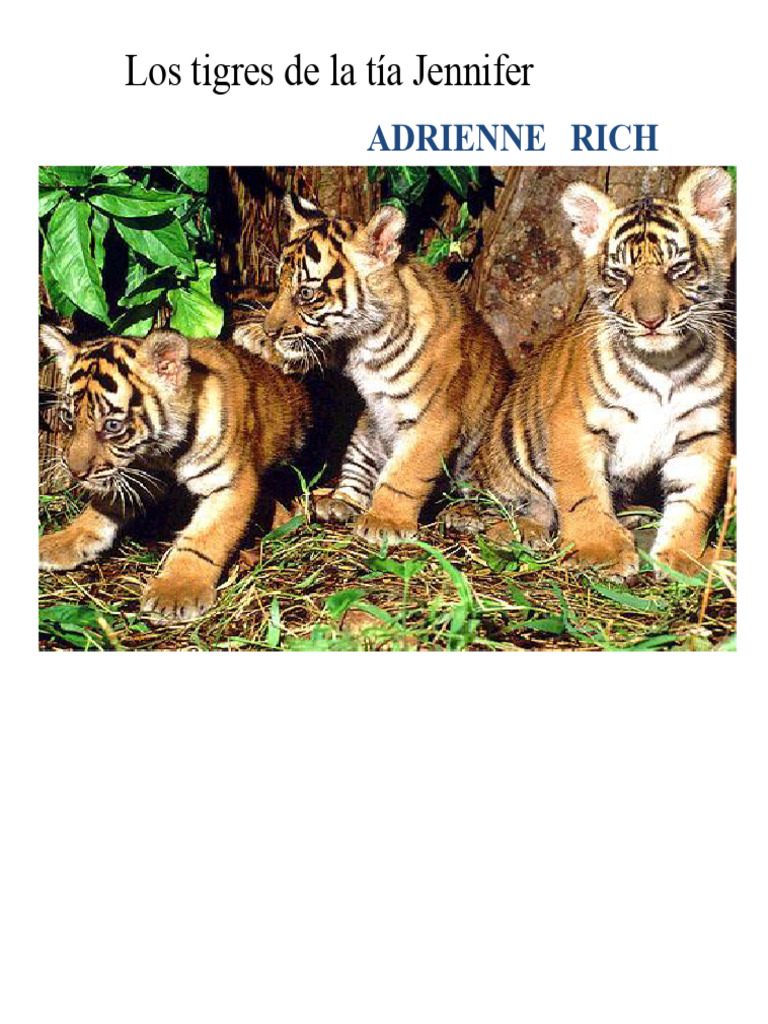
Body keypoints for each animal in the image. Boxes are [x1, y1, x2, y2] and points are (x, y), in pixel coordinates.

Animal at [39, 326, 310, 620]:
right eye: (68, 418)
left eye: (112, 425)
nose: (75, 471)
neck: (161, 454)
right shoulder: (135, 473)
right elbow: (98, 512)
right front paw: (61, 542)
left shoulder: (231, 484)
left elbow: (205, 538)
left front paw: (178, 591)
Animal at [261, 192, 512, 545]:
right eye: (278, 285)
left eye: (306, 293)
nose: (269, 331)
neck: (363, 344)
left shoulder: (434, 420)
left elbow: (405, 475)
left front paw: (385, 521)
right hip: (366, 431)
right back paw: (337, 502)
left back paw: (463, 515)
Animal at [457, 166, 735, 578]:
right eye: (620, 274)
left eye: (677, 269)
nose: (651, 321)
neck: (664, 367)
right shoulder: (574, 424)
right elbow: (583, 492)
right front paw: (600, 550)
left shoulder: (704, 432)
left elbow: (694, 501)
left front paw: (685, 558)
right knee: (516, 503)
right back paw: (519, 530)